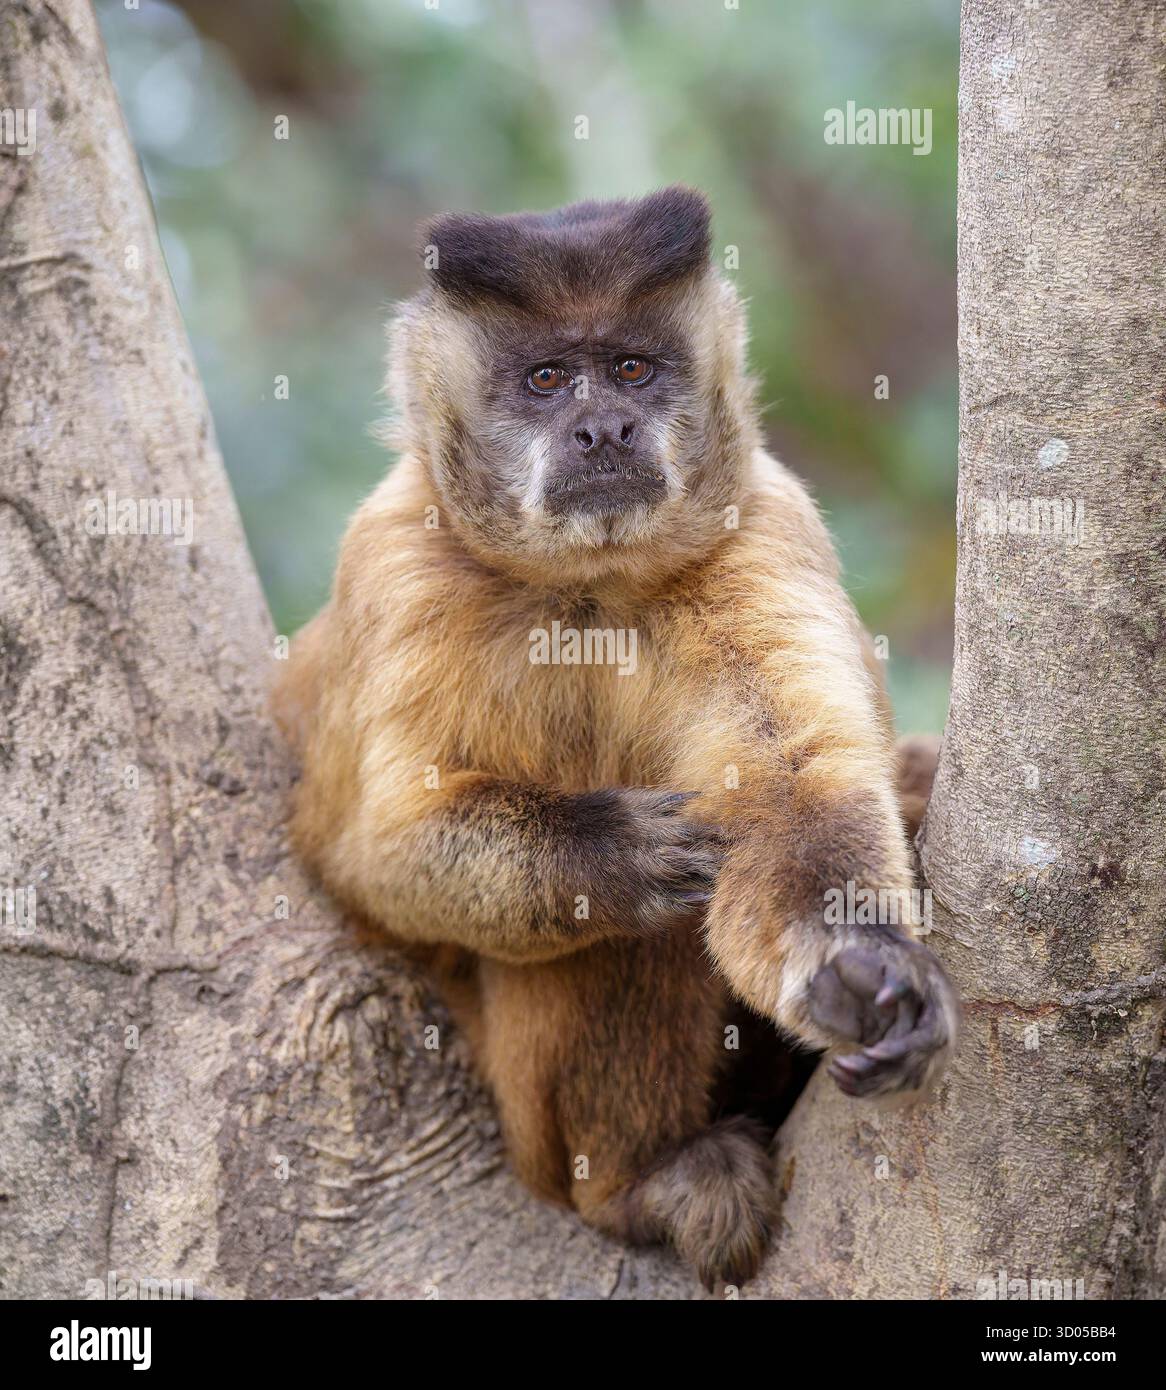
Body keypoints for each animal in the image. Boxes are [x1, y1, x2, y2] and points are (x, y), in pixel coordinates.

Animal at [273, 186, 959, 1290]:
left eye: (633, 368)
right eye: (549, 380)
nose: (603, 427)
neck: (583, 589)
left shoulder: (760, 528)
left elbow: (792, 786)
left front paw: (857, 966)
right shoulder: (396, 565)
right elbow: (367, 855)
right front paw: (608, 851)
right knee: (638, 929)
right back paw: (638, 1188)